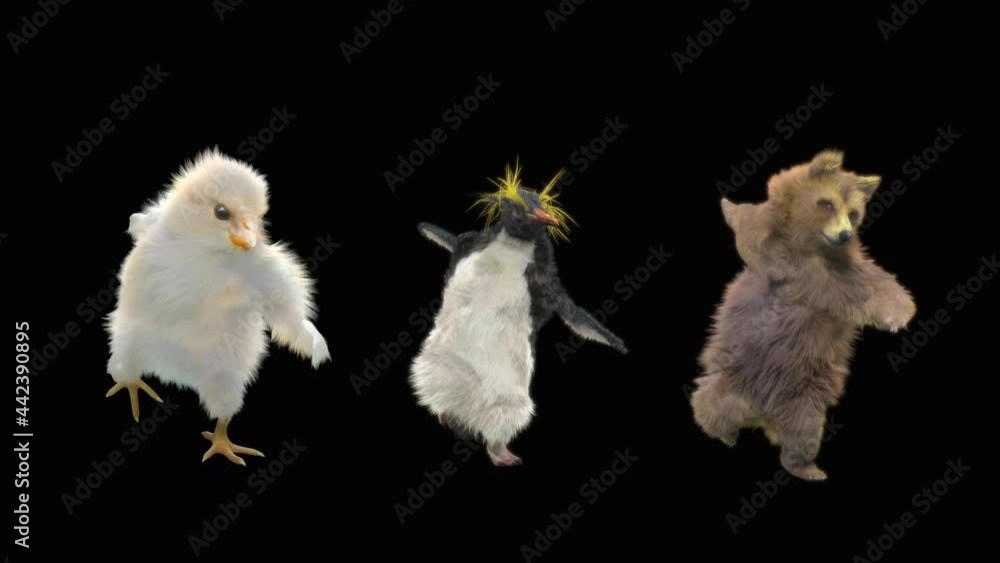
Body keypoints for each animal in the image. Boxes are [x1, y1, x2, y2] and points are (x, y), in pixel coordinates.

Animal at [691, 149, 916, 481]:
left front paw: (899, 310)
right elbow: (754, 232)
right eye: (826, 203)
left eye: (854, 213)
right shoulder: (780, 259)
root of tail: (761, 414)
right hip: (733, 379)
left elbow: (869, 280)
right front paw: (729, 204)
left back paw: (806, 467)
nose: (846, 234)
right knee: (715, 401)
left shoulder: (843, 267)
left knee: (803, 433)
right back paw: (722, 431)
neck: (812, 245)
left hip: (804, 396)